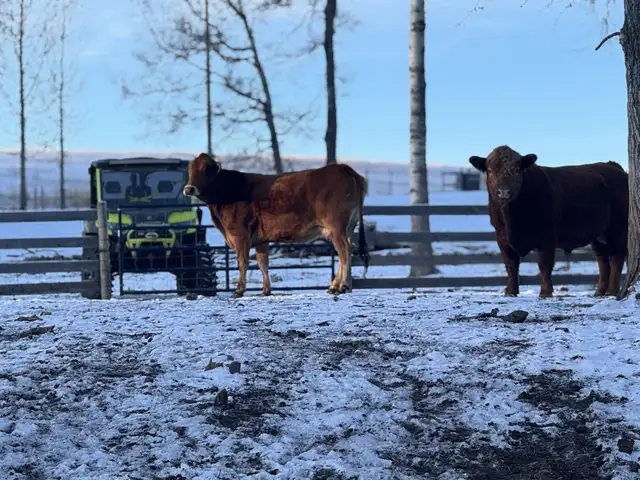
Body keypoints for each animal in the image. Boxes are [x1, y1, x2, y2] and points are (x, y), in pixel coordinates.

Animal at [183, 153, 370, 298]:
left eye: (206, 169)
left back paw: (342, 286)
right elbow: (263, 263)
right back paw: (338, 286)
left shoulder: (241, 235)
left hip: (336, 227)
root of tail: (342, 167)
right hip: (347, 228)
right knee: (345, 251)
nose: (189, 189)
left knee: (344, 251)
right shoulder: (261, 240)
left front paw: (239, 290)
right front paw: (266, 290)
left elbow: (243, 262)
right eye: (190, 170)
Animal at [468, 145, 628, 298]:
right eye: (490, 170)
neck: (512, 219)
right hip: (599, 235)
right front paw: (510, 292)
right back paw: (600, 292)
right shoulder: (502, 238)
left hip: (618, 229)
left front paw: (545, 292)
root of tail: (613, 166)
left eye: (517, 170)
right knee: (603, 260)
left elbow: (544, 264)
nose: (503, 192)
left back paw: (612, 291)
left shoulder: (547, 236)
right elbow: (511, 265)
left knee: (617, 257)